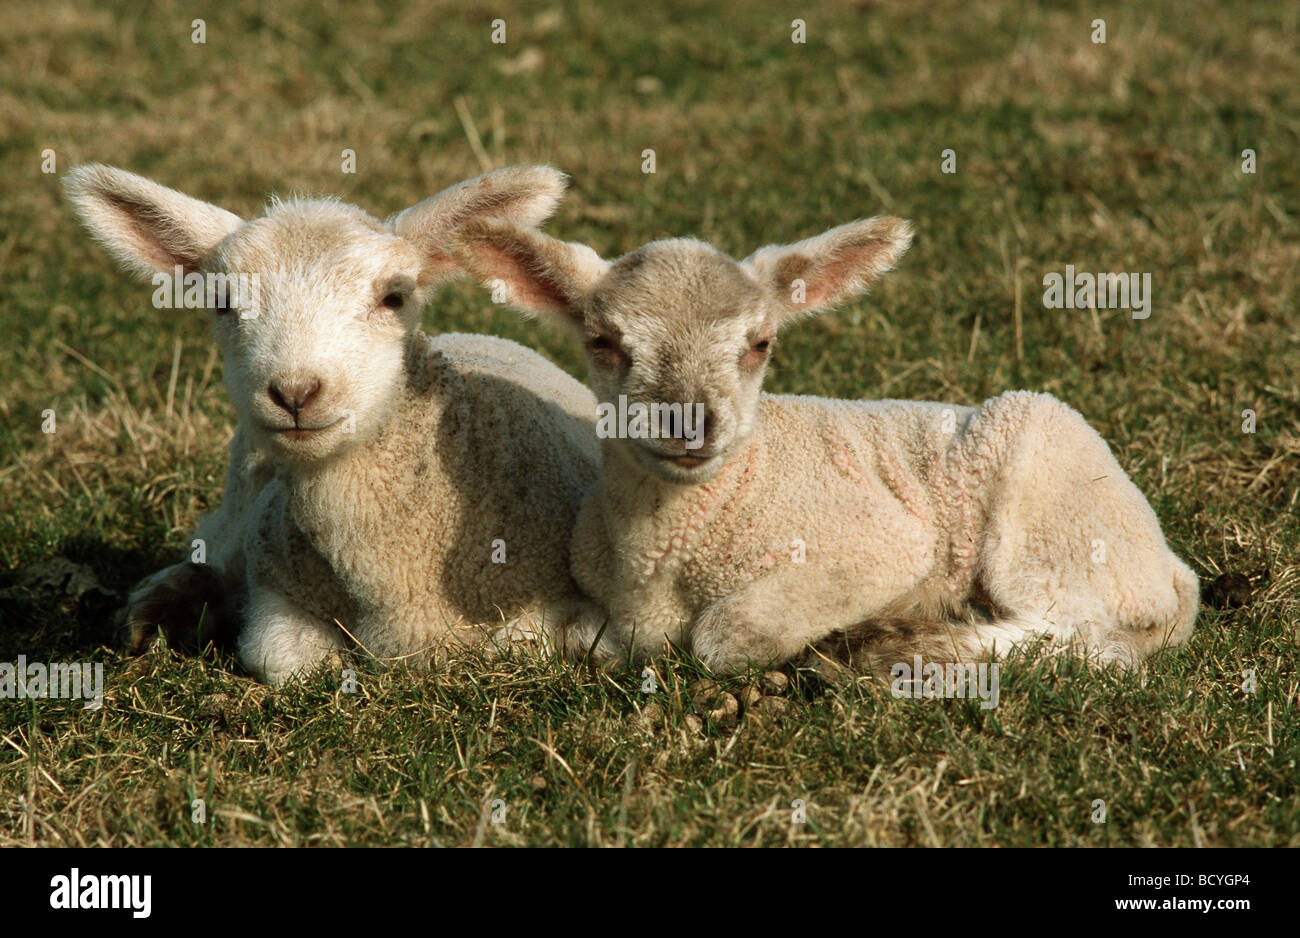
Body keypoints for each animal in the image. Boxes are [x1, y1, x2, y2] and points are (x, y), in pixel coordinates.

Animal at [65, 164, 600, 686]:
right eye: (222, 301)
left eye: (393, 298)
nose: (295, 393)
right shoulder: (276, 583)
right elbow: (282, 661)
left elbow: (520, 645)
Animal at [452, 215, 1200, 677]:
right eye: (603, 343)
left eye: (761, 344)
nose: (687, 424)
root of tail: (1168, 565)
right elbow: (538, 637)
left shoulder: (879, 543)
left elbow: (724, 635)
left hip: (1051, 498)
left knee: (1081, 634)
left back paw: (897, 645)